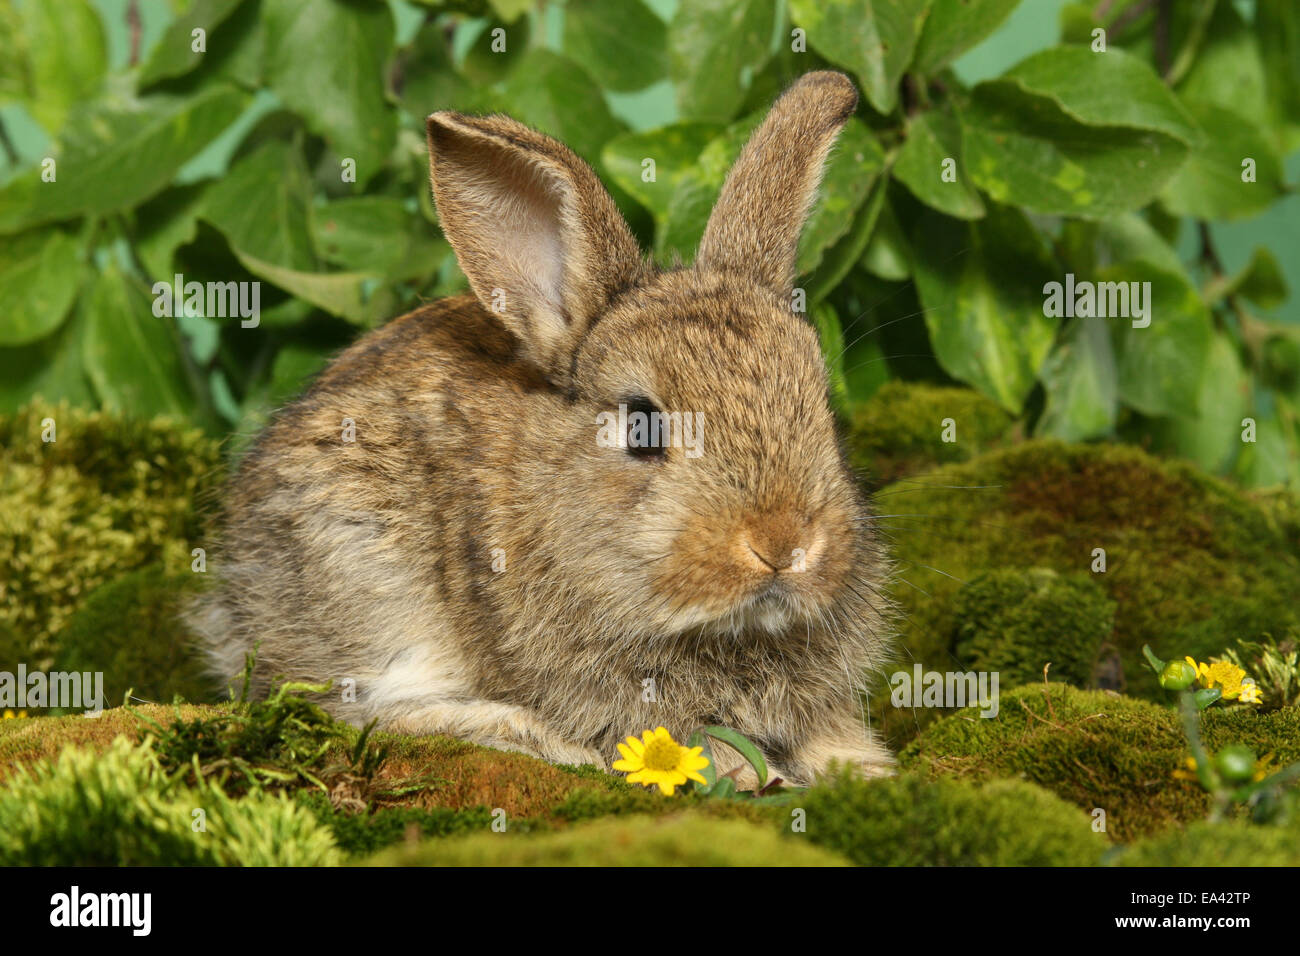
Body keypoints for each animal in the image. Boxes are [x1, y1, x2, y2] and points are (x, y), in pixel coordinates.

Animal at [190, 70, 895, 789]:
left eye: (822, 407)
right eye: (642, 427)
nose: (783, 543)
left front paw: (866, 769)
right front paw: (750, 772)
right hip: (358, 565)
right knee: (348, 707)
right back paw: (526, 734)